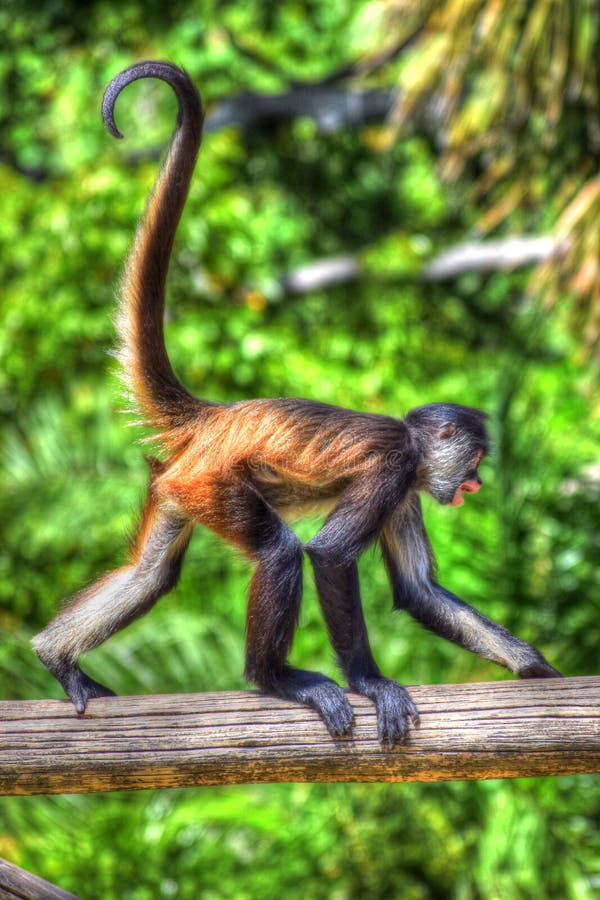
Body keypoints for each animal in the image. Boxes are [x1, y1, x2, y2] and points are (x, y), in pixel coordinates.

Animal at [32, 61, 561, 747]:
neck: (410, 442)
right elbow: (329, 556)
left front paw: (538, 669)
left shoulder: (407, 487)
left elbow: (419, 591)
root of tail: (217, 416)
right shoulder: (394, 467)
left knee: (152, 574)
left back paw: (56, 657)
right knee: (279, 551)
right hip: (213, 479)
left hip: (181, 481)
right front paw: (370, 682)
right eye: (473, 465)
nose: (473, 486)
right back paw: (276, 680)